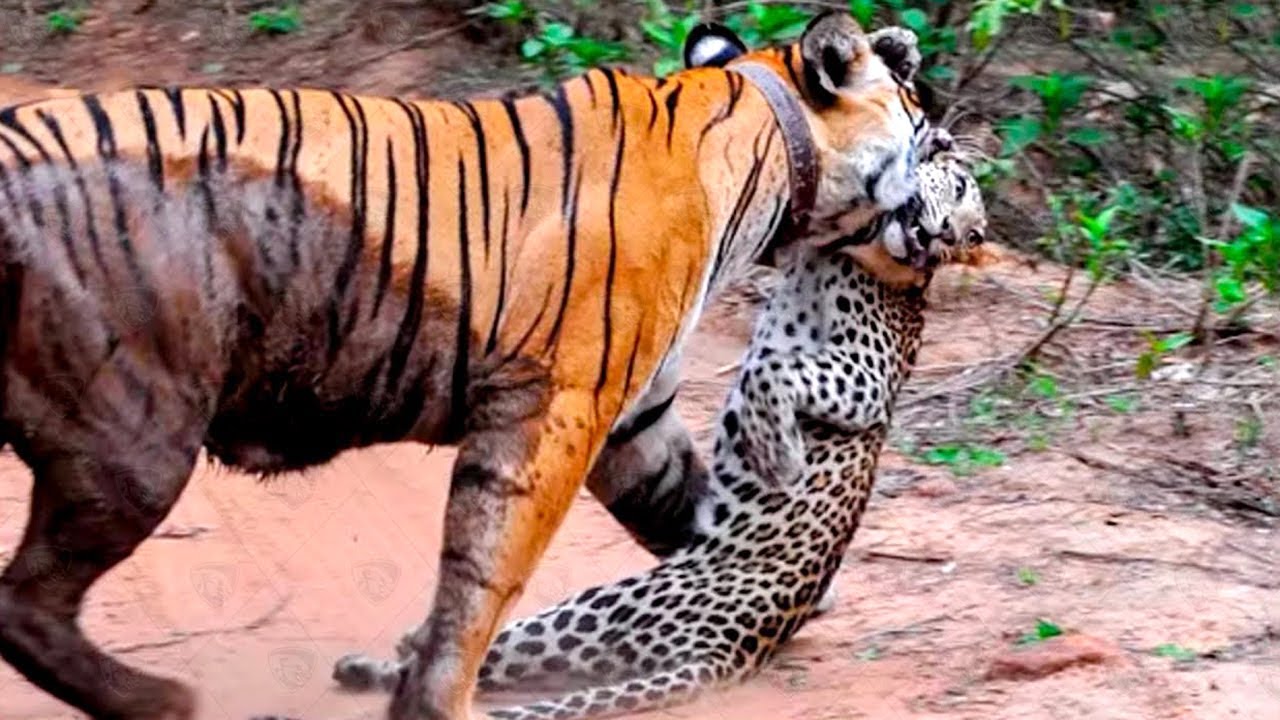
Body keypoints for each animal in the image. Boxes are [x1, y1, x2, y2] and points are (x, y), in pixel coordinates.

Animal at [330, 144, 990, 720]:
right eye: (960, 194)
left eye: (971, 236)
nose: (944, 237)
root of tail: (736, 648)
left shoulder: (864, 378)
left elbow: (776, 371)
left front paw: (775, 451)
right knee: (493, 661)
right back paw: (371, 664)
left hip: (595, 610)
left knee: (490, 654)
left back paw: (390, 660)